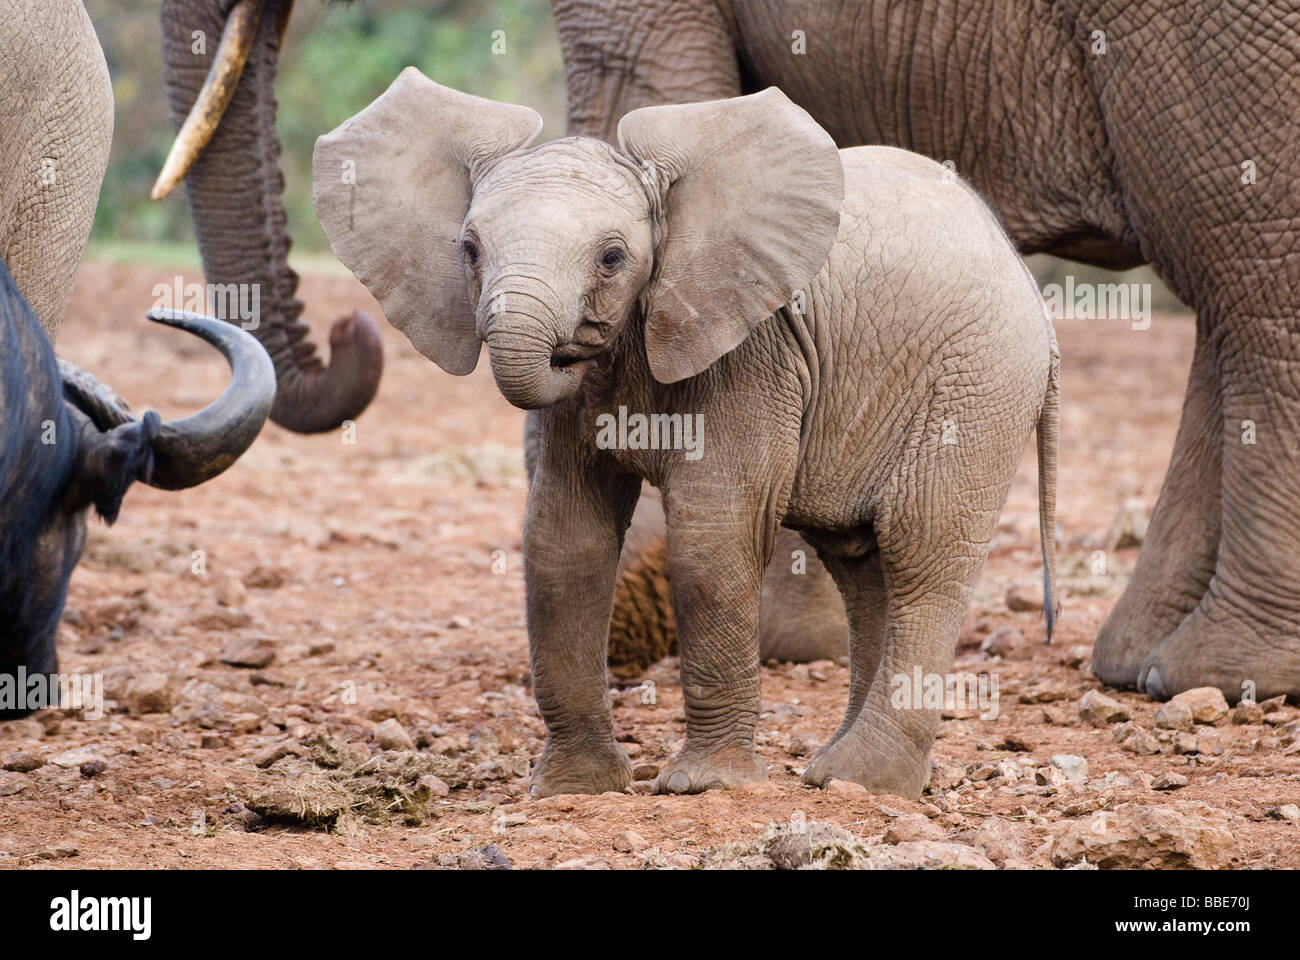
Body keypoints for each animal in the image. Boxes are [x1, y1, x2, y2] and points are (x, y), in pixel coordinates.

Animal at [312, 71, 1059, 799]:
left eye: (613, 258)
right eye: (468, 250)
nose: (567, 352)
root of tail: (1029, 284)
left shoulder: (752, 349)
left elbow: (712, 538)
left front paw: (703, 785)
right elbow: (563, 540)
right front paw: (574, 790)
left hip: (978, 384)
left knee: (920, 555)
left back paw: (865, 782)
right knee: (862, 564)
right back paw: (835, 774)